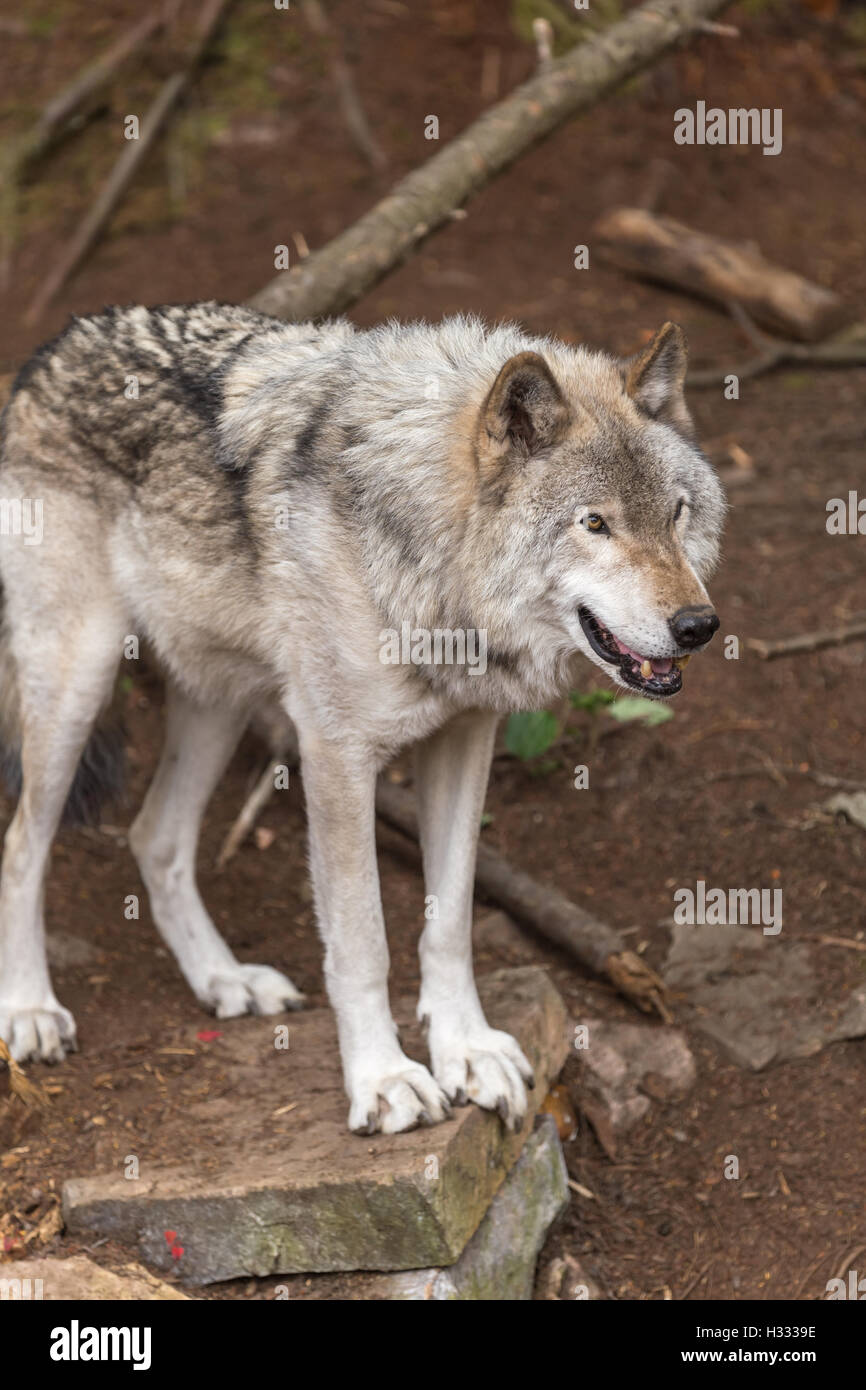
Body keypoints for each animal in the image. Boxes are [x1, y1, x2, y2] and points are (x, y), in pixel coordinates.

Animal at [0, 304, 724, 1133]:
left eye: (677, 514)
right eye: (595, 524)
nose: (699, 625)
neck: (429, 559)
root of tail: (52, 347)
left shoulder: (465, 738)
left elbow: (449, 923)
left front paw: (465, 1051)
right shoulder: (336, 754)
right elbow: (361, 942)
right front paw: (385, 1079)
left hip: (217, 702)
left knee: (155, 837)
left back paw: (225, 980)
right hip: (78, 682)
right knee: (23, 845)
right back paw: (29, 1009)